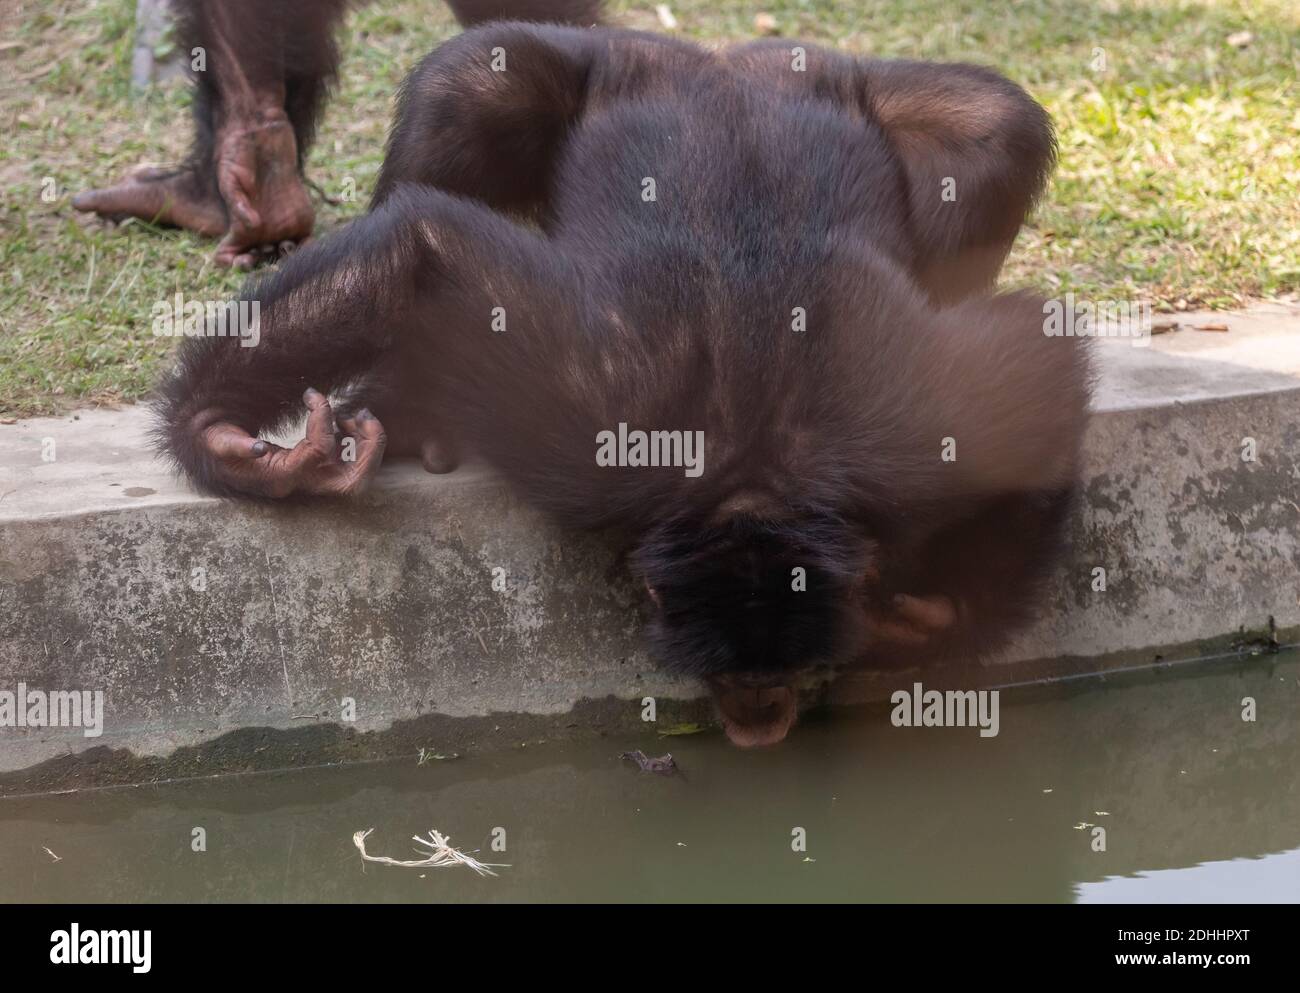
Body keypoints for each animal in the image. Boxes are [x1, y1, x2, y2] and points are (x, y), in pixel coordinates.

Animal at [152, 19, 1092, 747]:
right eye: (729, 672)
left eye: (793, 666)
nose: (761, 716)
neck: (752, 478)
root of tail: (720, 59)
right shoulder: (576, 420)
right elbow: (421, 254)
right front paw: (231, 440)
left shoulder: (933, 428)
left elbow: (1044, 375)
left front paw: (923, 616)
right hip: (605, 64)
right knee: (473, 81)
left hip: (853, 82)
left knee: (995, 129)